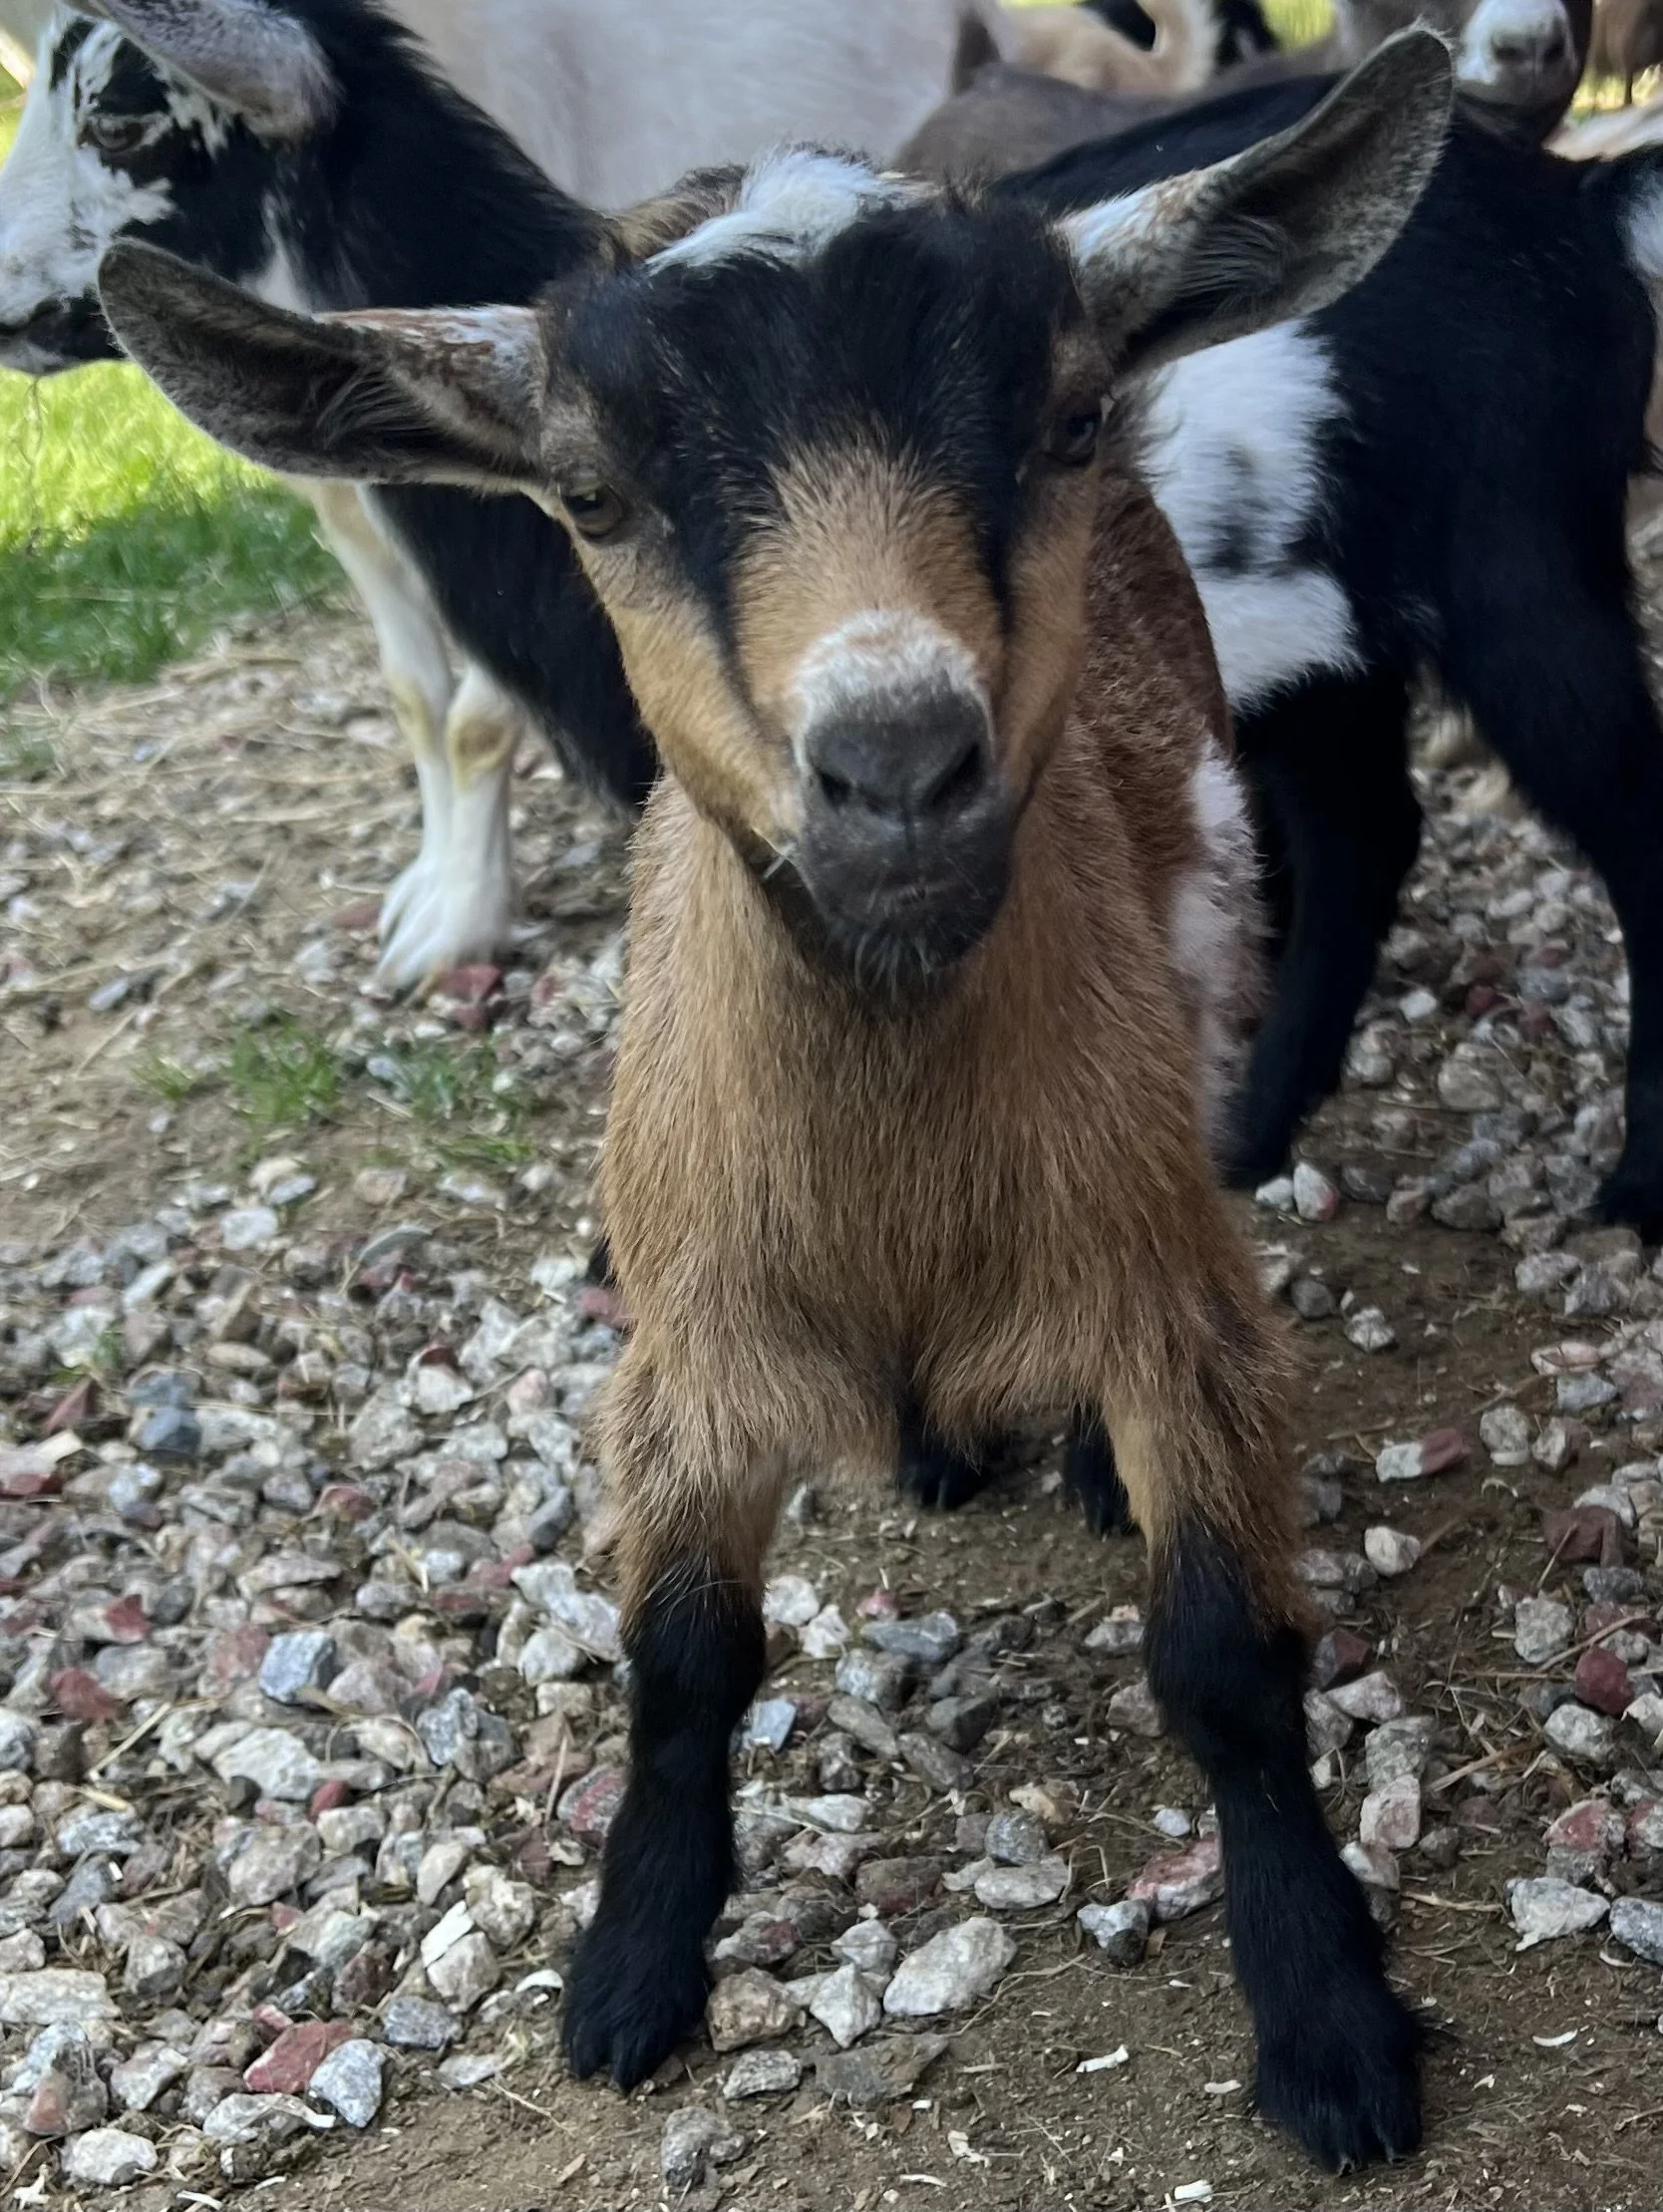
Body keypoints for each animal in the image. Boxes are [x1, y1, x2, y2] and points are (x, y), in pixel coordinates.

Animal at [0, 0, 1189, 991]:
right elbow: (415, 695)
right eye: (589, 493)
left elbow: (474, 722)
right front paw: (434, 902)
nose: (2, 302)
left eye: (120, 120)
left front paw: (459, 925)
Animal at [97, 36, 1453, 2169]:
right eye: (590, 490)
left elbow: (1227, 1662)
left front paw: (1327, 2023)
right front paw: (628, 1969)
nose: (896, 764)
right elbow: (677, 1662)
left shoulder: (1172, 1291)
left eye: (1064, 413)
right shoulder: (681, 1352)